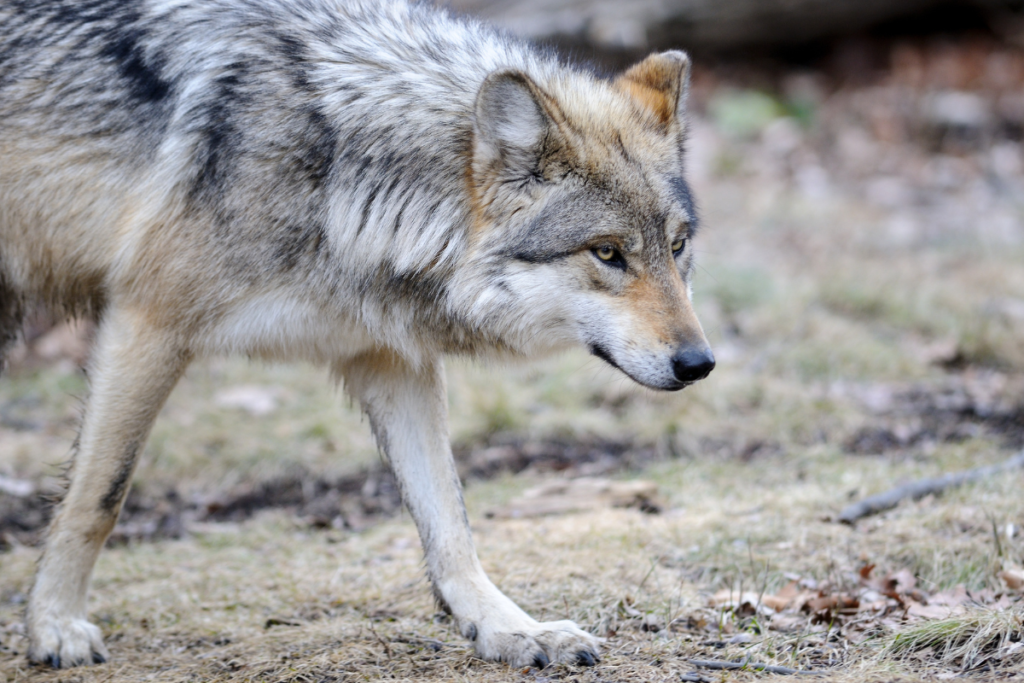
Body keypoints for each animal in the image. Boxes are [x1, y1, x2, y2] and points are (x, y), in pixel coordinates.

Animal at [0, 0, 715, 670]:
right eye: (608, 253)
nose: (700, 363)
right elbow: (100, 496)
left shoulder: (390, 359)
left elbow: (451, 521)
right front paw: (54, 626)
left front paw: (509, 628)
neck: (342, 174)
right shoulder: (147, 321)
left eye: (677, 247)